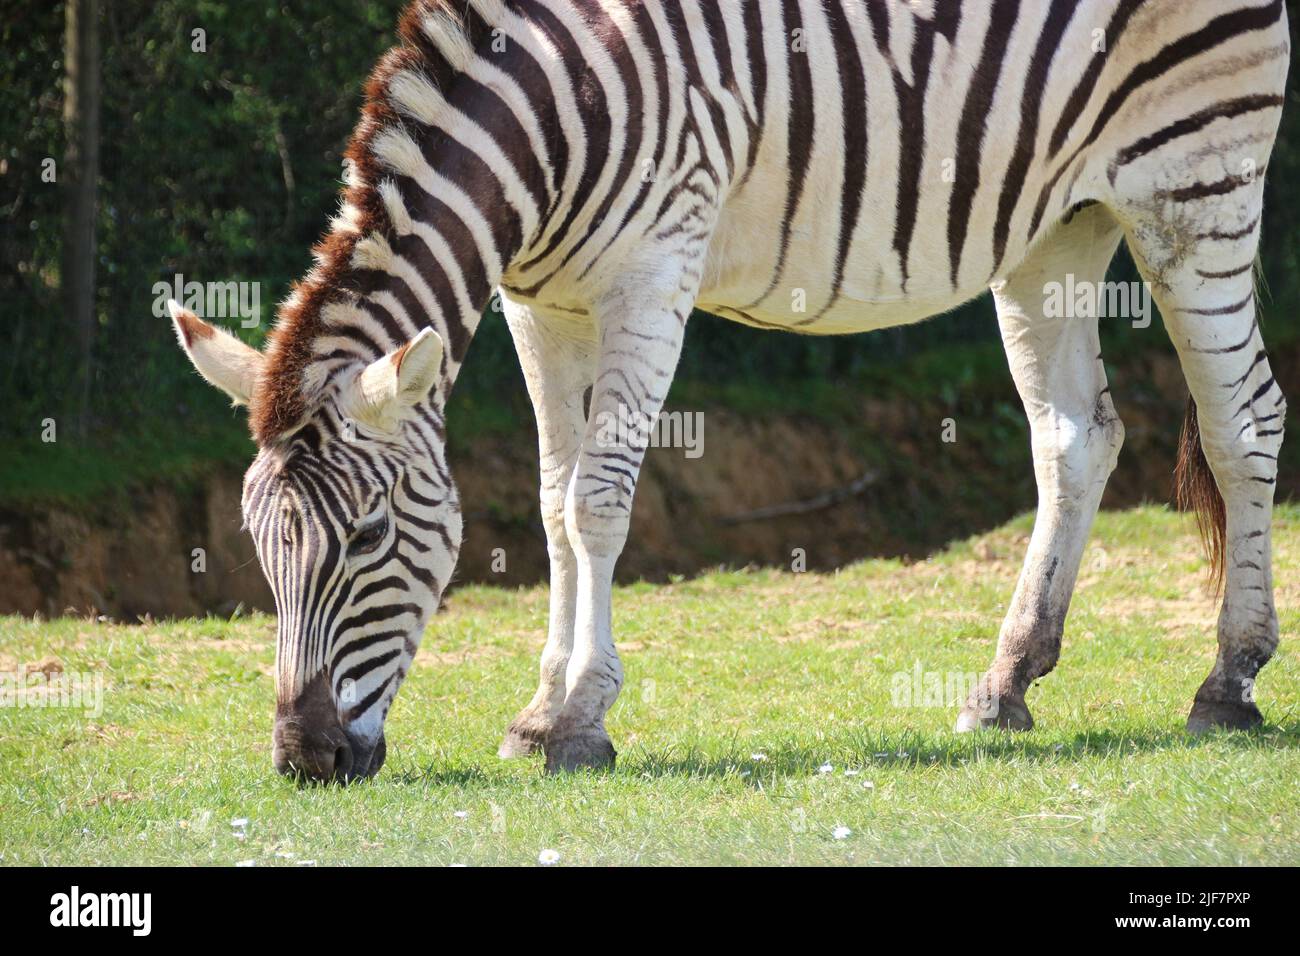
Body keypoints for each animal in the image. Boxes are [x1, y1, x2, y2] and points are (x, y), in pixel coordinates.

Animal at [170, 0, 1289, 780]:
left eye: (365, 537)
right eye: (257, 541)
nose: (304, 759)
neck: (553, 120)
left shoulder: (652, 275)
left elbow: (597, 504)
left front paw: (580, 719)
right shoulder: (541, 306)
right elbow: (551, 502)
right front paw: (538, 711)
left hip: (1195, 185)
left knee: (1244, 420)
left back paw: (1227, 683)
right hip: (1059, 225)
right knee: (1074, 436)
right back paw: (1003, 685)